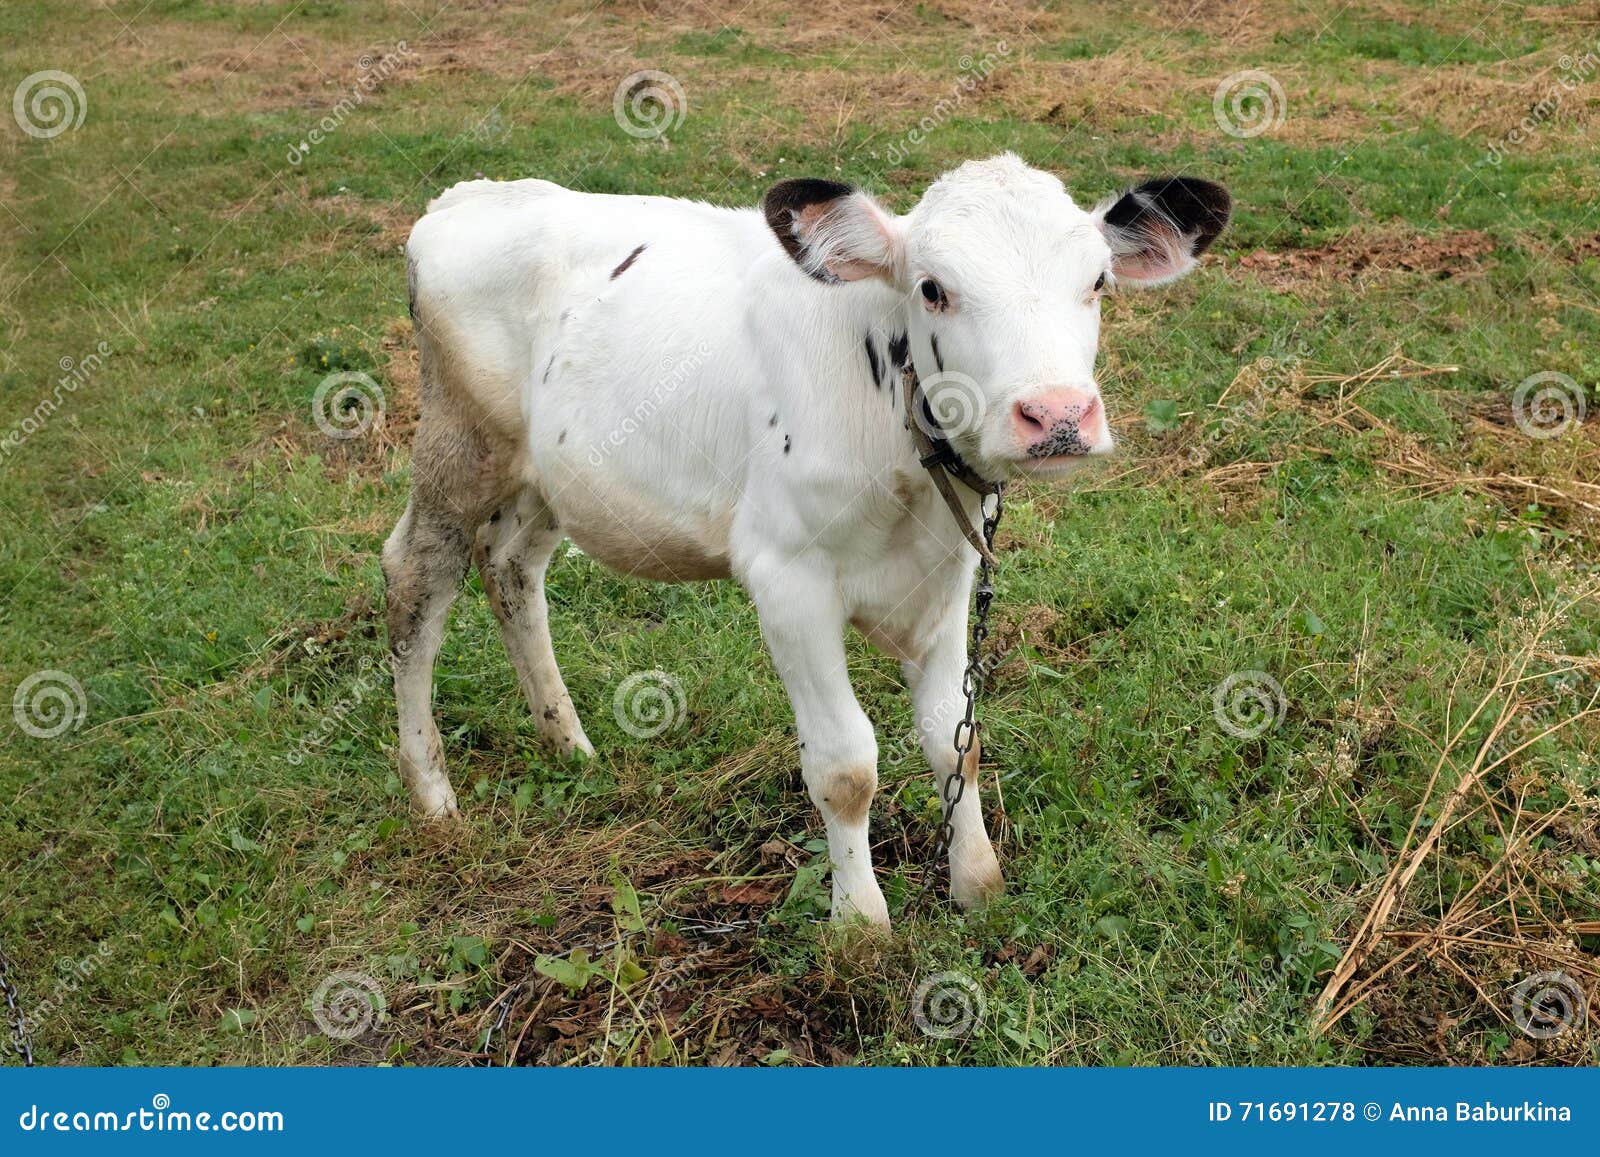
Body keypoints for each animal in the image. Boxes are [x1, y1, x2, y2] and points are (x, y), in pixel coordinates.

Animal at [385, 153, 1230, 929]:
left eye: (1098, 282)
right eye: (933, 288)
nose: (1056, 415)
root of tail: (470, 196)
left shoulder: (948, 571)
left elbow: (954, 738)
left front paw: (976, 881)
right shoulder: (787, 579)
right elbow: (845, 766)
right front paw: (859, 927)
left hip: (548, 477)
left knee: (511, 568)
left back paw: (567, 741)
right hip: (459, 450)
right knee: (415, 583)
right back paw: (432, 794)